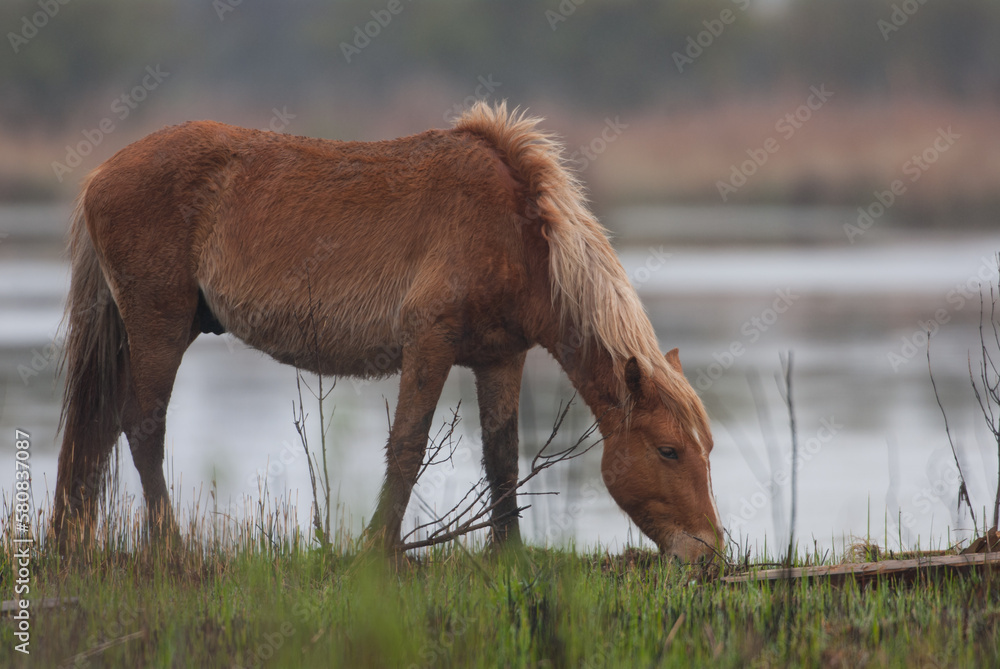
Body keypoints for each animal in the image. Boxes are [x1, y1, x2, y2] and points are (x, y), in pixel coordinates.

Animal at [53, 101, 722, 561]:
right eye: (668, 449)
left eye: (707, 448)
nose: (710, 552)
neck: (514, 232)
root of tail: (99, 174)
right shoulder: (429, 342)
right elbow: (407, 446)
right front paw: (378, 549)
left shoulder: (500, 359)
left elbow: (502, 455)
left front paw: (507, 553)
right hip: (159, 325)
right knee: (142, 425)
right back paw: (170, 546)